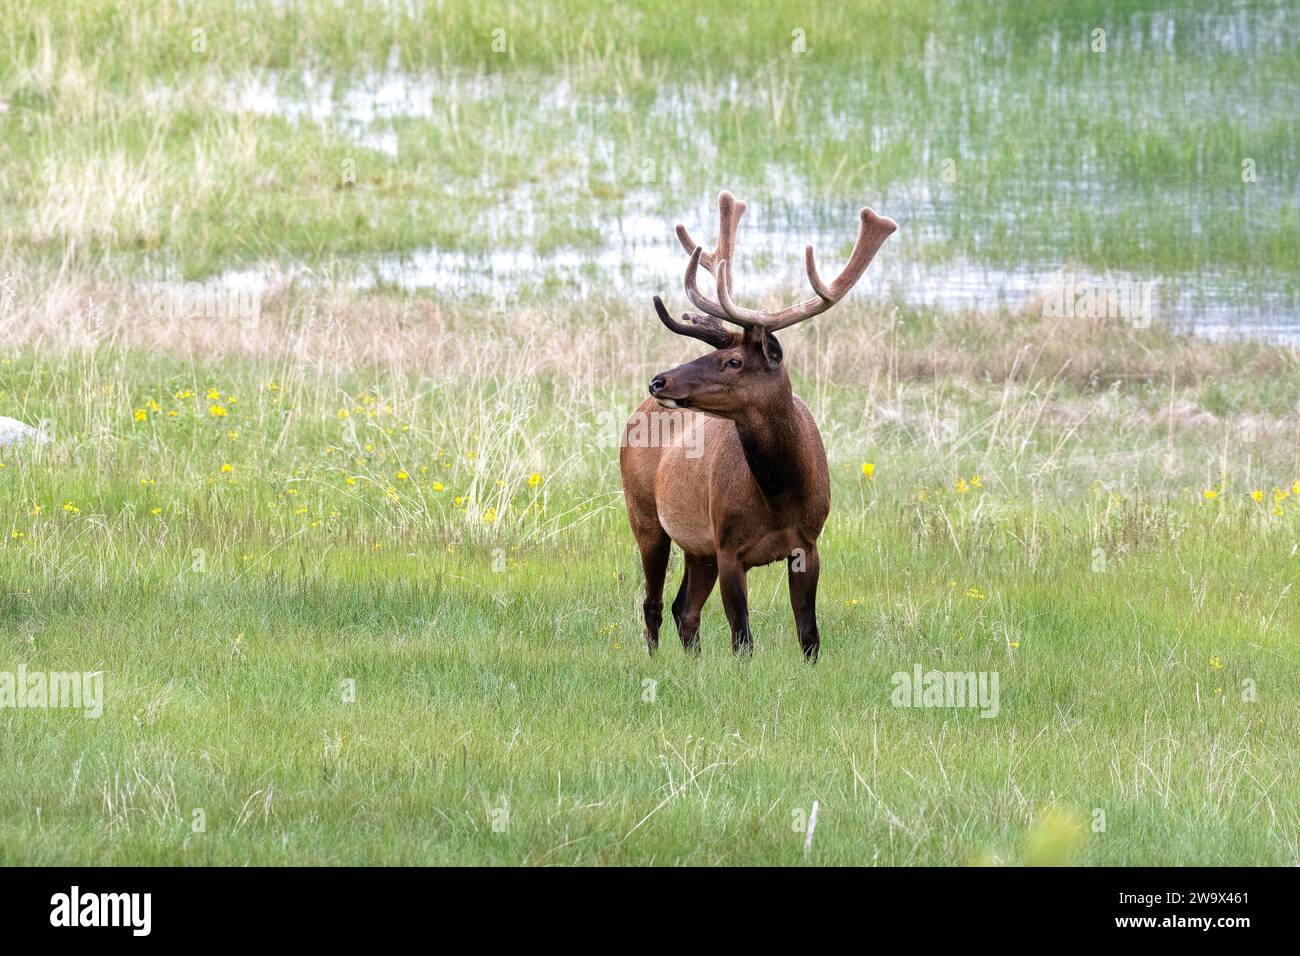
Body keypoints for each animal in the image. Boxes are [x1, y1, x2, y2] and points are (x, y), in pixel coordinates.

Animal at [619, 190, 897, 661]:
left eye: (733, 361)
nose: (658, 381)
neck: (779, 494)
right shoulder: (729, 546)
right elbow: (742, 638)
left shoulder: (808, 543)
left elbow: (809, 634)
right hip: (645, 515)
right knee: (653, 604)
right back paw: (653, 659)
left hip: (698, 546)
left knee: (683, 608)